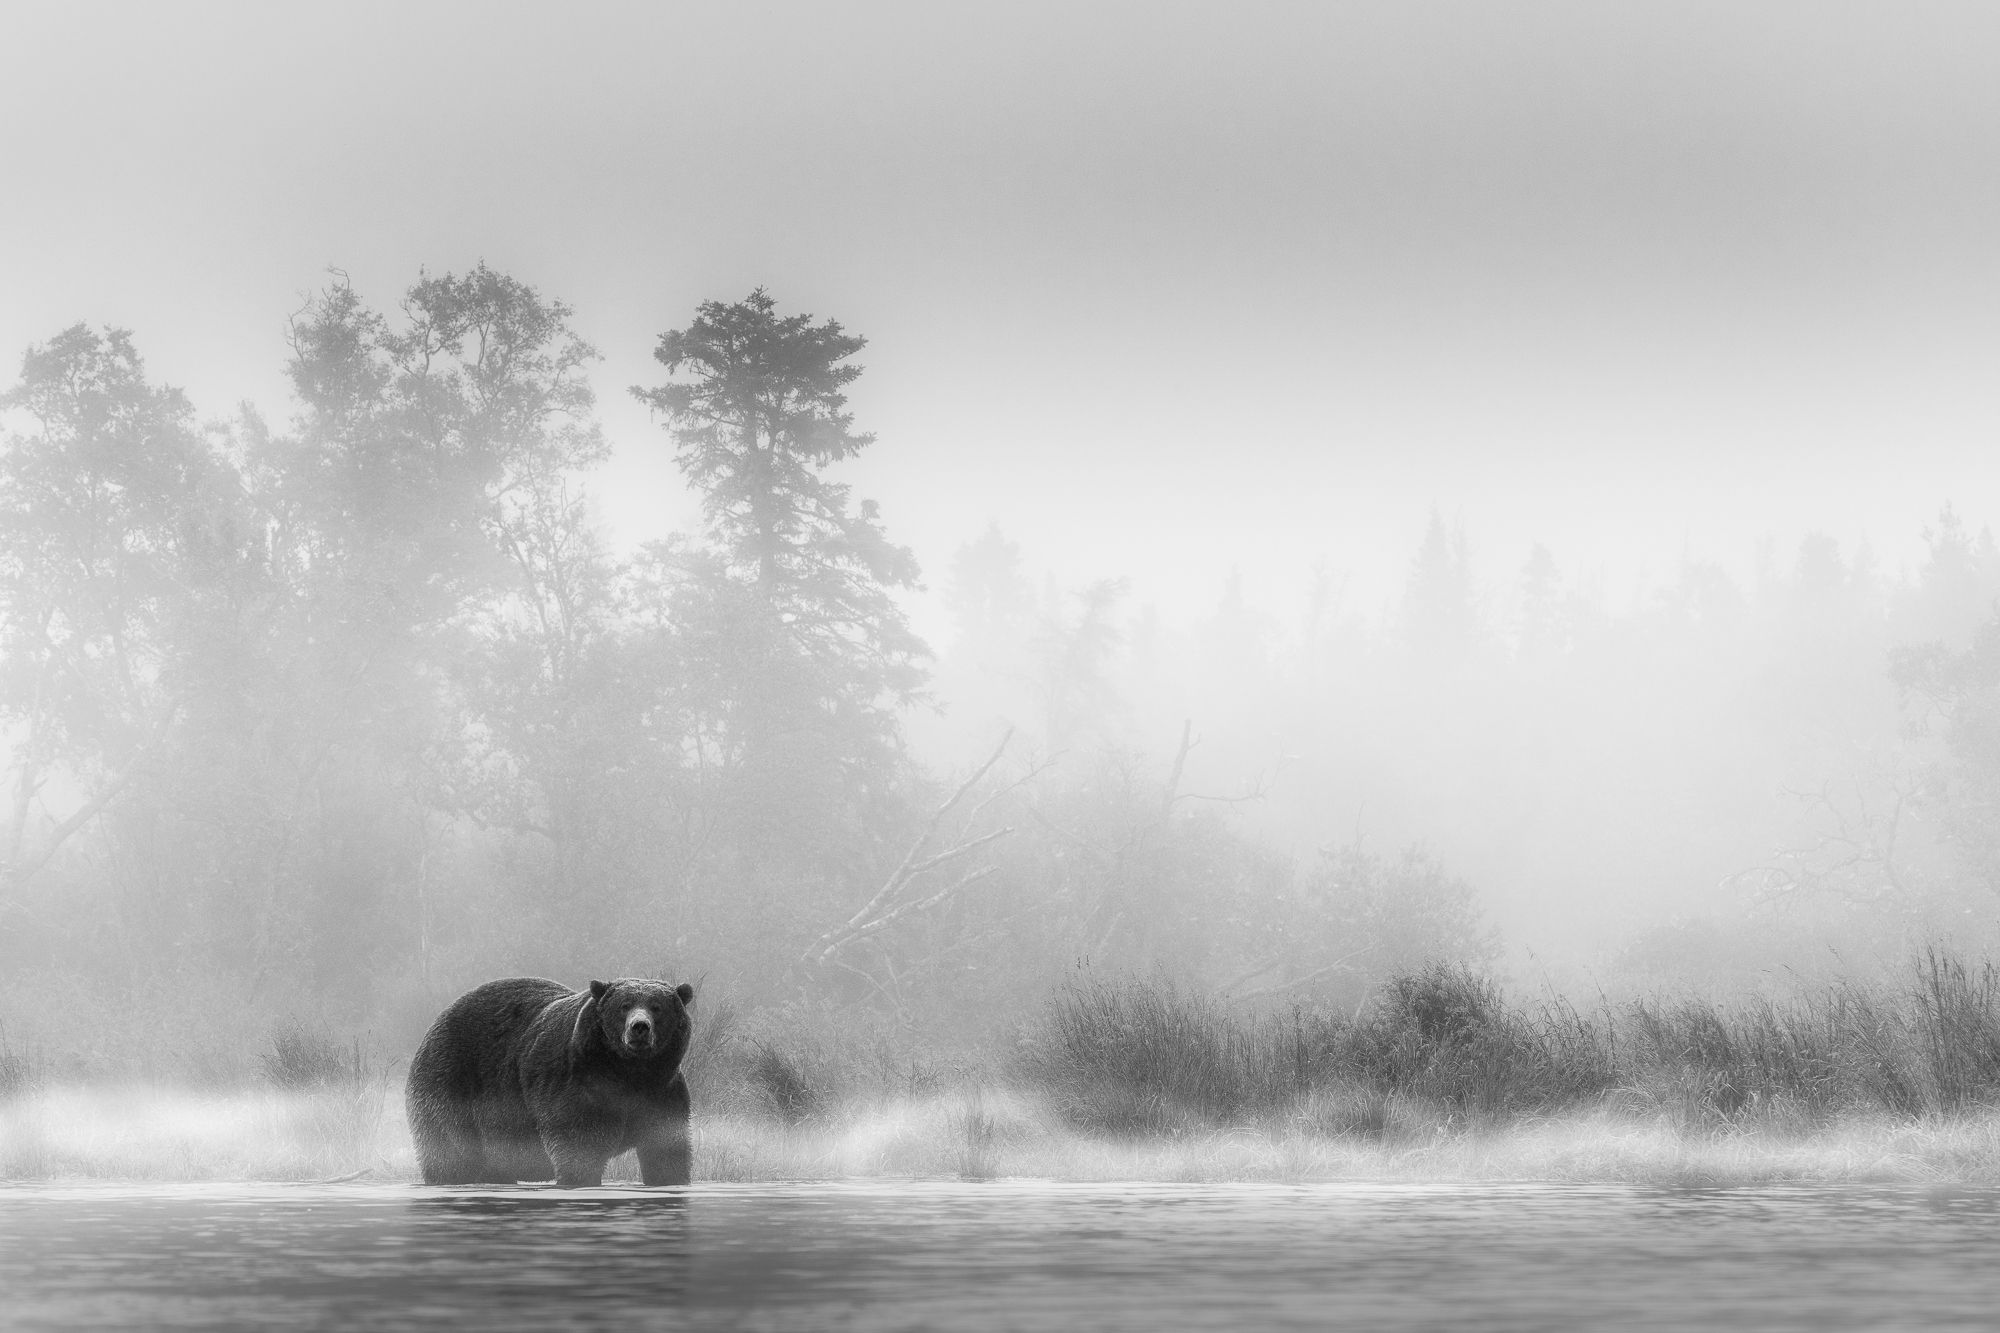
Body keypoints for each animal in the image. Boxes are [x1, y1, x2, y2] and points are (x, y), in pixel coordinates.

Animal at [406, 976, 696, 1188]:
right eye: (624, 1006)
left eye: (657, 1007)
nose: (639, 1027)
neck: (628, 1073)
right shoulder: (577, 1086)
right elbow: (579, 1146)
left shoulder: (662, 1091)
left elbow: (666, 1150)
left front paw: (670, 1180)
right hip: (449, 1086)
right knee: (450, 1156)